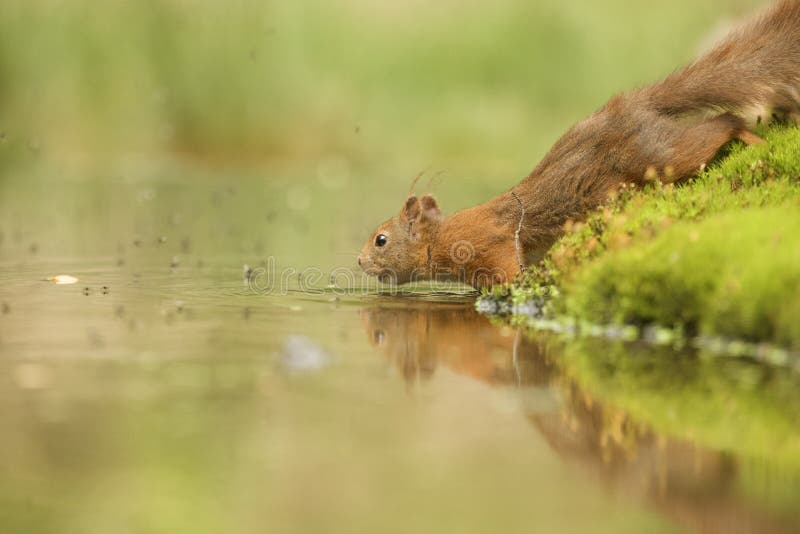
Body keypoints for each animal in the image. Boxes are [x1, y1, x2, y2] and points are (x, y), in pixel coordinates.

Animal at [358, 0, 800, 288]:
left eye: (381, 239)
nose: (359, 261)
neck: (441, 236)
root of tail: (634, 104)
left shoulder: (487, 242)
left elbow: (506, 268)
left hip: (663, 155)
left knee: (723, 124)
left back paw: (752, 139)